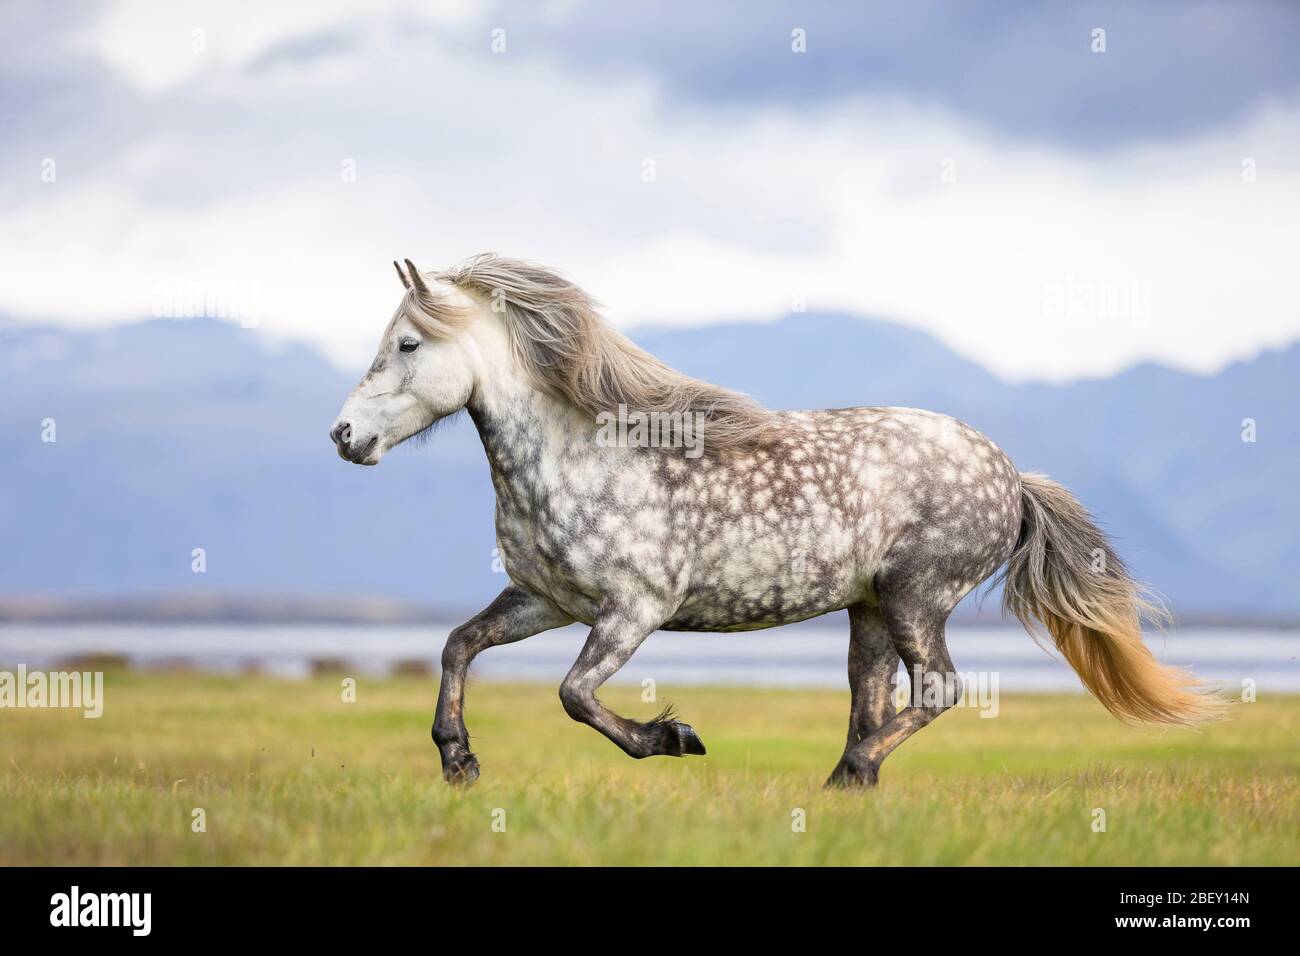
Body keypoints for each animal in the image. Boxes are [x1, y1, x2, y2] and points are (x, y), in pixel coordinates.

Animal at [330, 254, 1223, 788]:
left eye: (407, 344)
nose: (344, 436)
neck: (575, 461)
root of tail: (1010, 475)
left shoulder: (633, 610)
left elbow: (575, 695)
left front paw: (675, 739)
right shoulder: (545, 600)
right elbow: (458, 646)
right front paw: (458, 760)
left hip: (916, 599)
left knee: (934, 691)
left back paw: (844, 774)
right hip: (869, 610)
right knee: (874, 698)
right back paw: (847, 785)